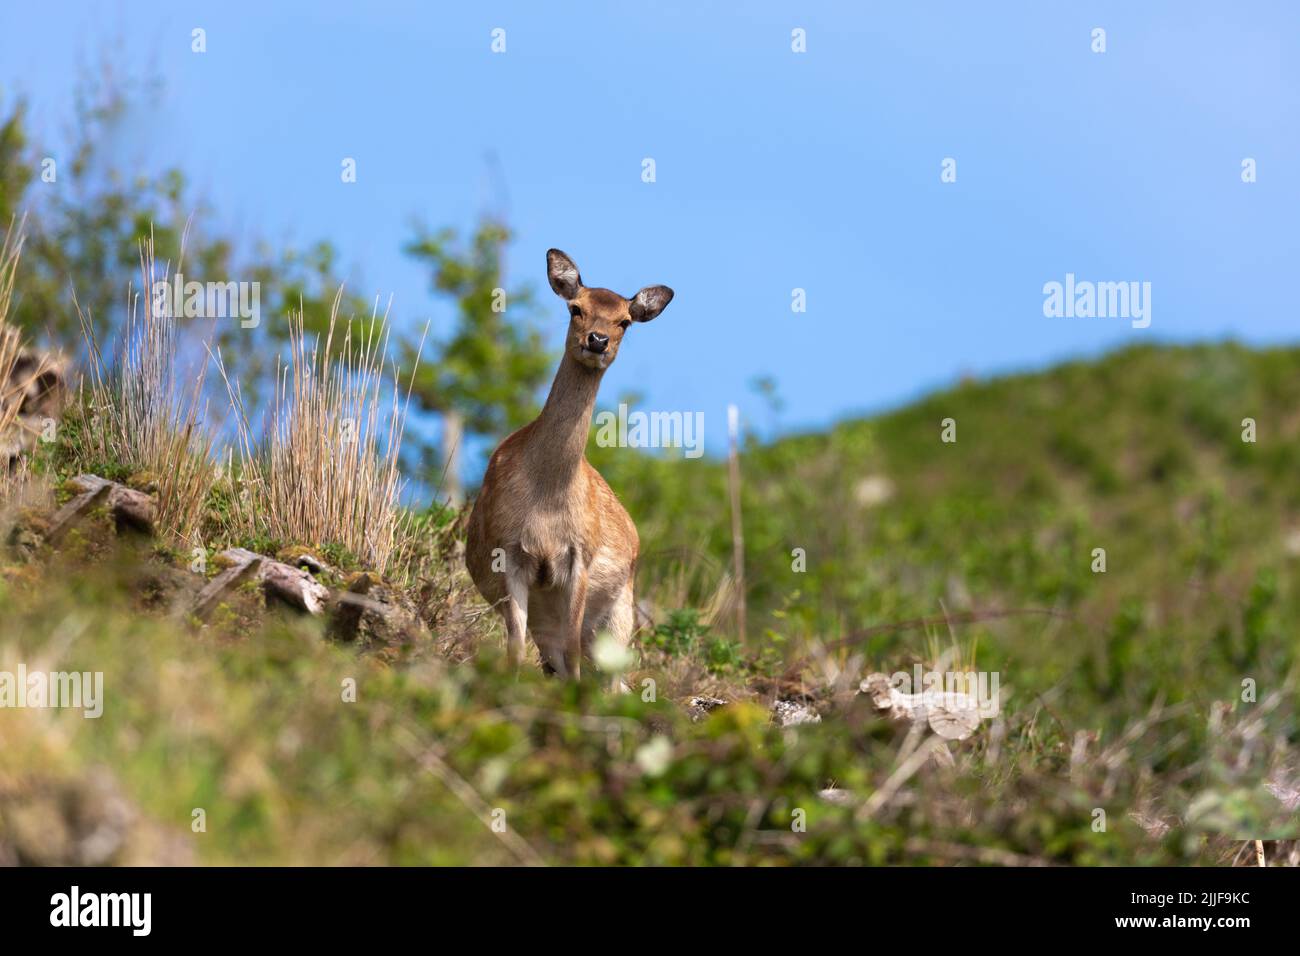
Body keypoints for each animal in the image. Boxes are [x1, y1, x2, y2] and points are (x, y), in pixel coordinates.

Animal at [465, 249, 674, 681]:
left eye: (625, 320)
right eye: (576, 308)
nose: (598, 340)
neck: (546, 497)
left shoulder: (581, 554)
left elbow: (573, 647)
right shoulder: (510, 552)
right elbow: (515, 645)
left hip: (621, 613)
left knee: (611, 672)